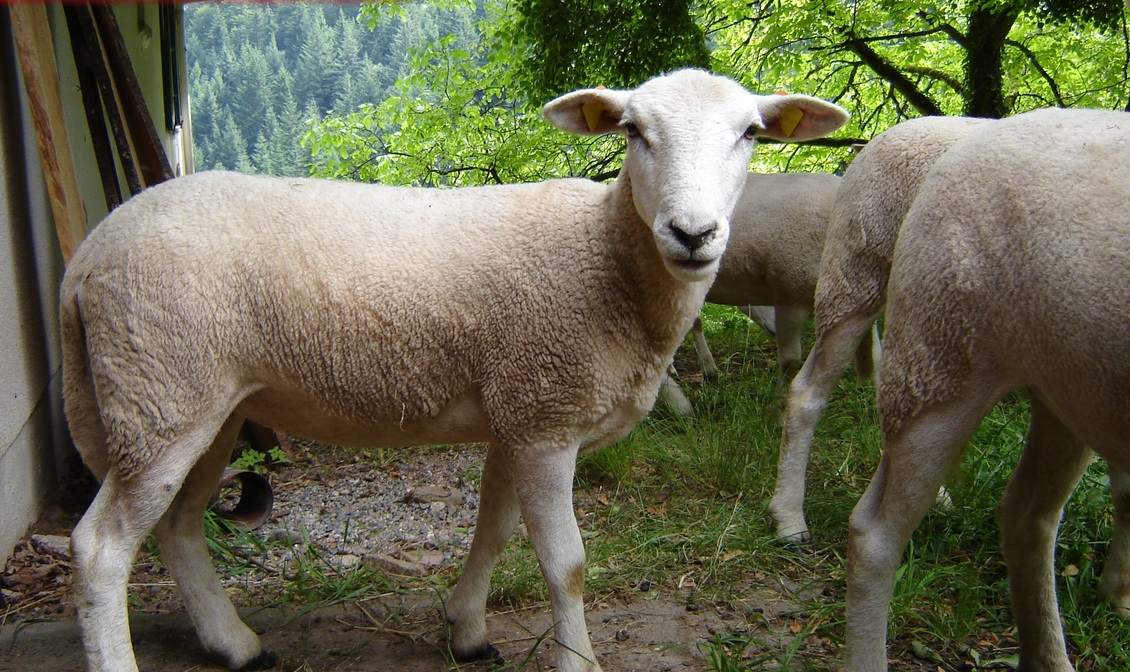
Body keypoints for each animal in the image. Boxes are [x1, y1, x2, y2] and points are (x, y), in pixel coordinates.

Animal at [59, 68, 849, 672]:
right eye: (632, 132)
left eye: (751, 134)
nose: (693, 233)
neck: (607, 262)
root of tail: (87, 256)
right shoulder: (546, 416)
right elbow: (566, 563)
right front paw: (575, 658)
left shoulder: (518, 413)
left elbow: (493, 532)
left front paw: (465, 628)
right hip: (159, 386)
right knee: (101, 548)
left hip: (199, 401)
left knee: (179, 526)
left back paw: (235, 643)